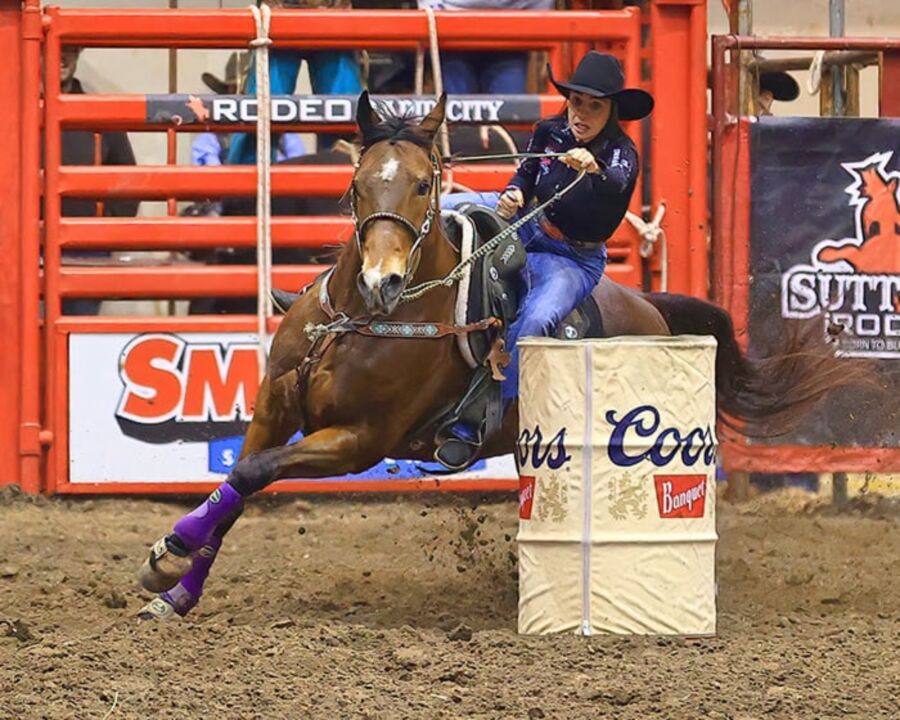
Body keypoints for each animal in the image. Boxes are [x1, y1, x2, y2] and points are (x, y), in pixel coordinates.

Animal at [136, 91, 859, 620]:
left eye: (423, 185)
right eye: (362, 182)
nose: (382, 280)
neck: (360, 321)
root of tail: (650, 306)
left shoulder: (361, 441)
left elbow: (255, 472)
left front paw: (172, 549)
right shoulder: (273, 405)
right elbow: (240, 480)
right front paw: (176, 587)